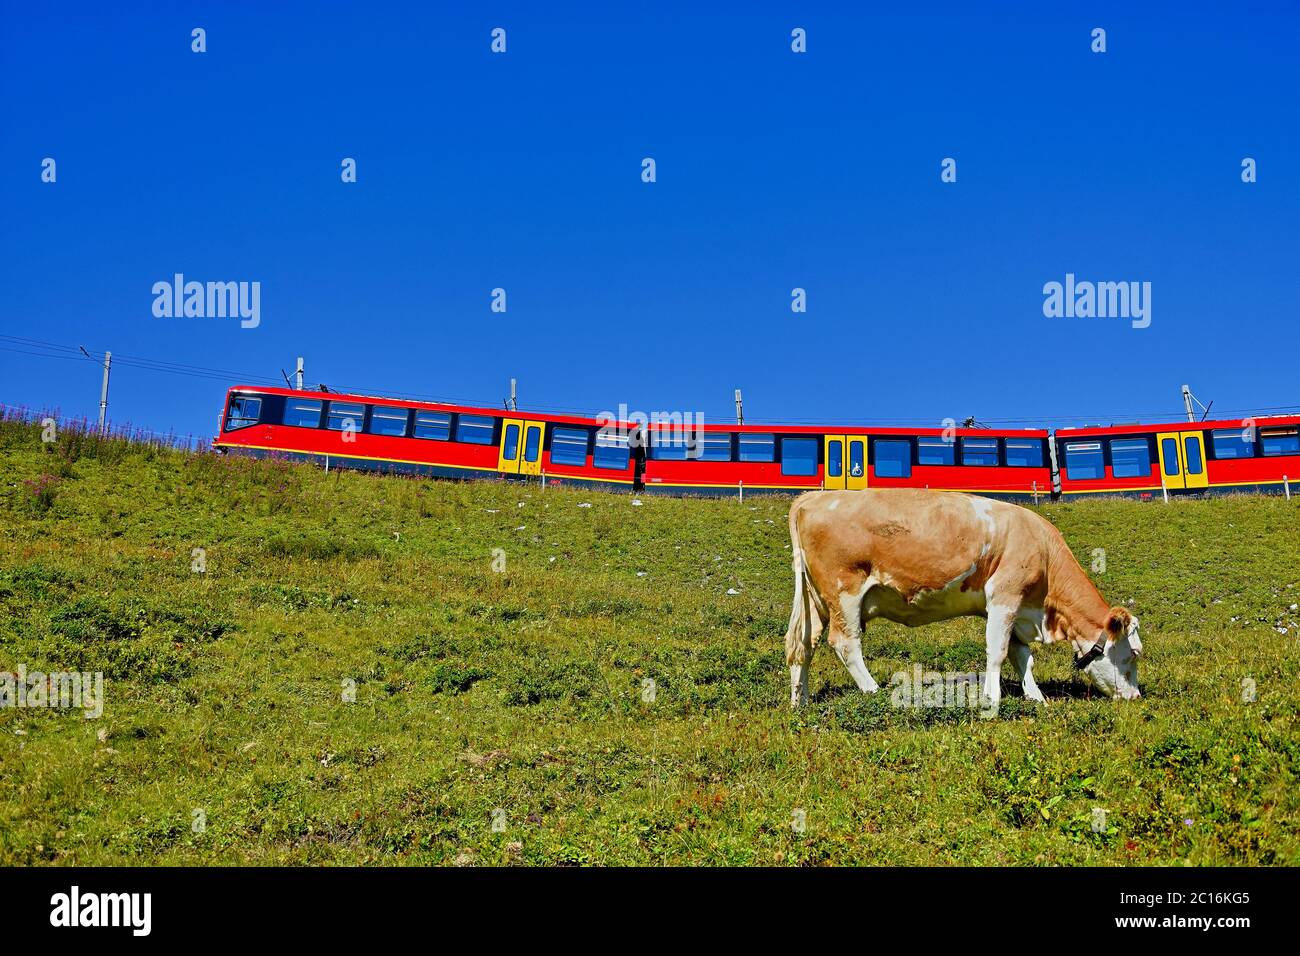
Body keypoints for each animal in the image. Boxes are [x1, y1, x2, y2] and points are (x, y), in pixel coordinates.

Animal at [783, 488, 1143, 709]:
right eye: (1132, 655)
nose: (1137, 696)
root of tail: (813, 498)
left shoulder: (1013, 607)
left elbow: (1022, 657)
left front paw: (1036, 696)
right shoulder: (1004, 595)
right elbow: (998, 652)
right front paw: (992, 698)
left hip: (816, 601)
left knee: (804, 644)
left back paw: (800, 701)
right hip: (844, 591)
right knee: (845, 642)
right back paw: (873, 691)